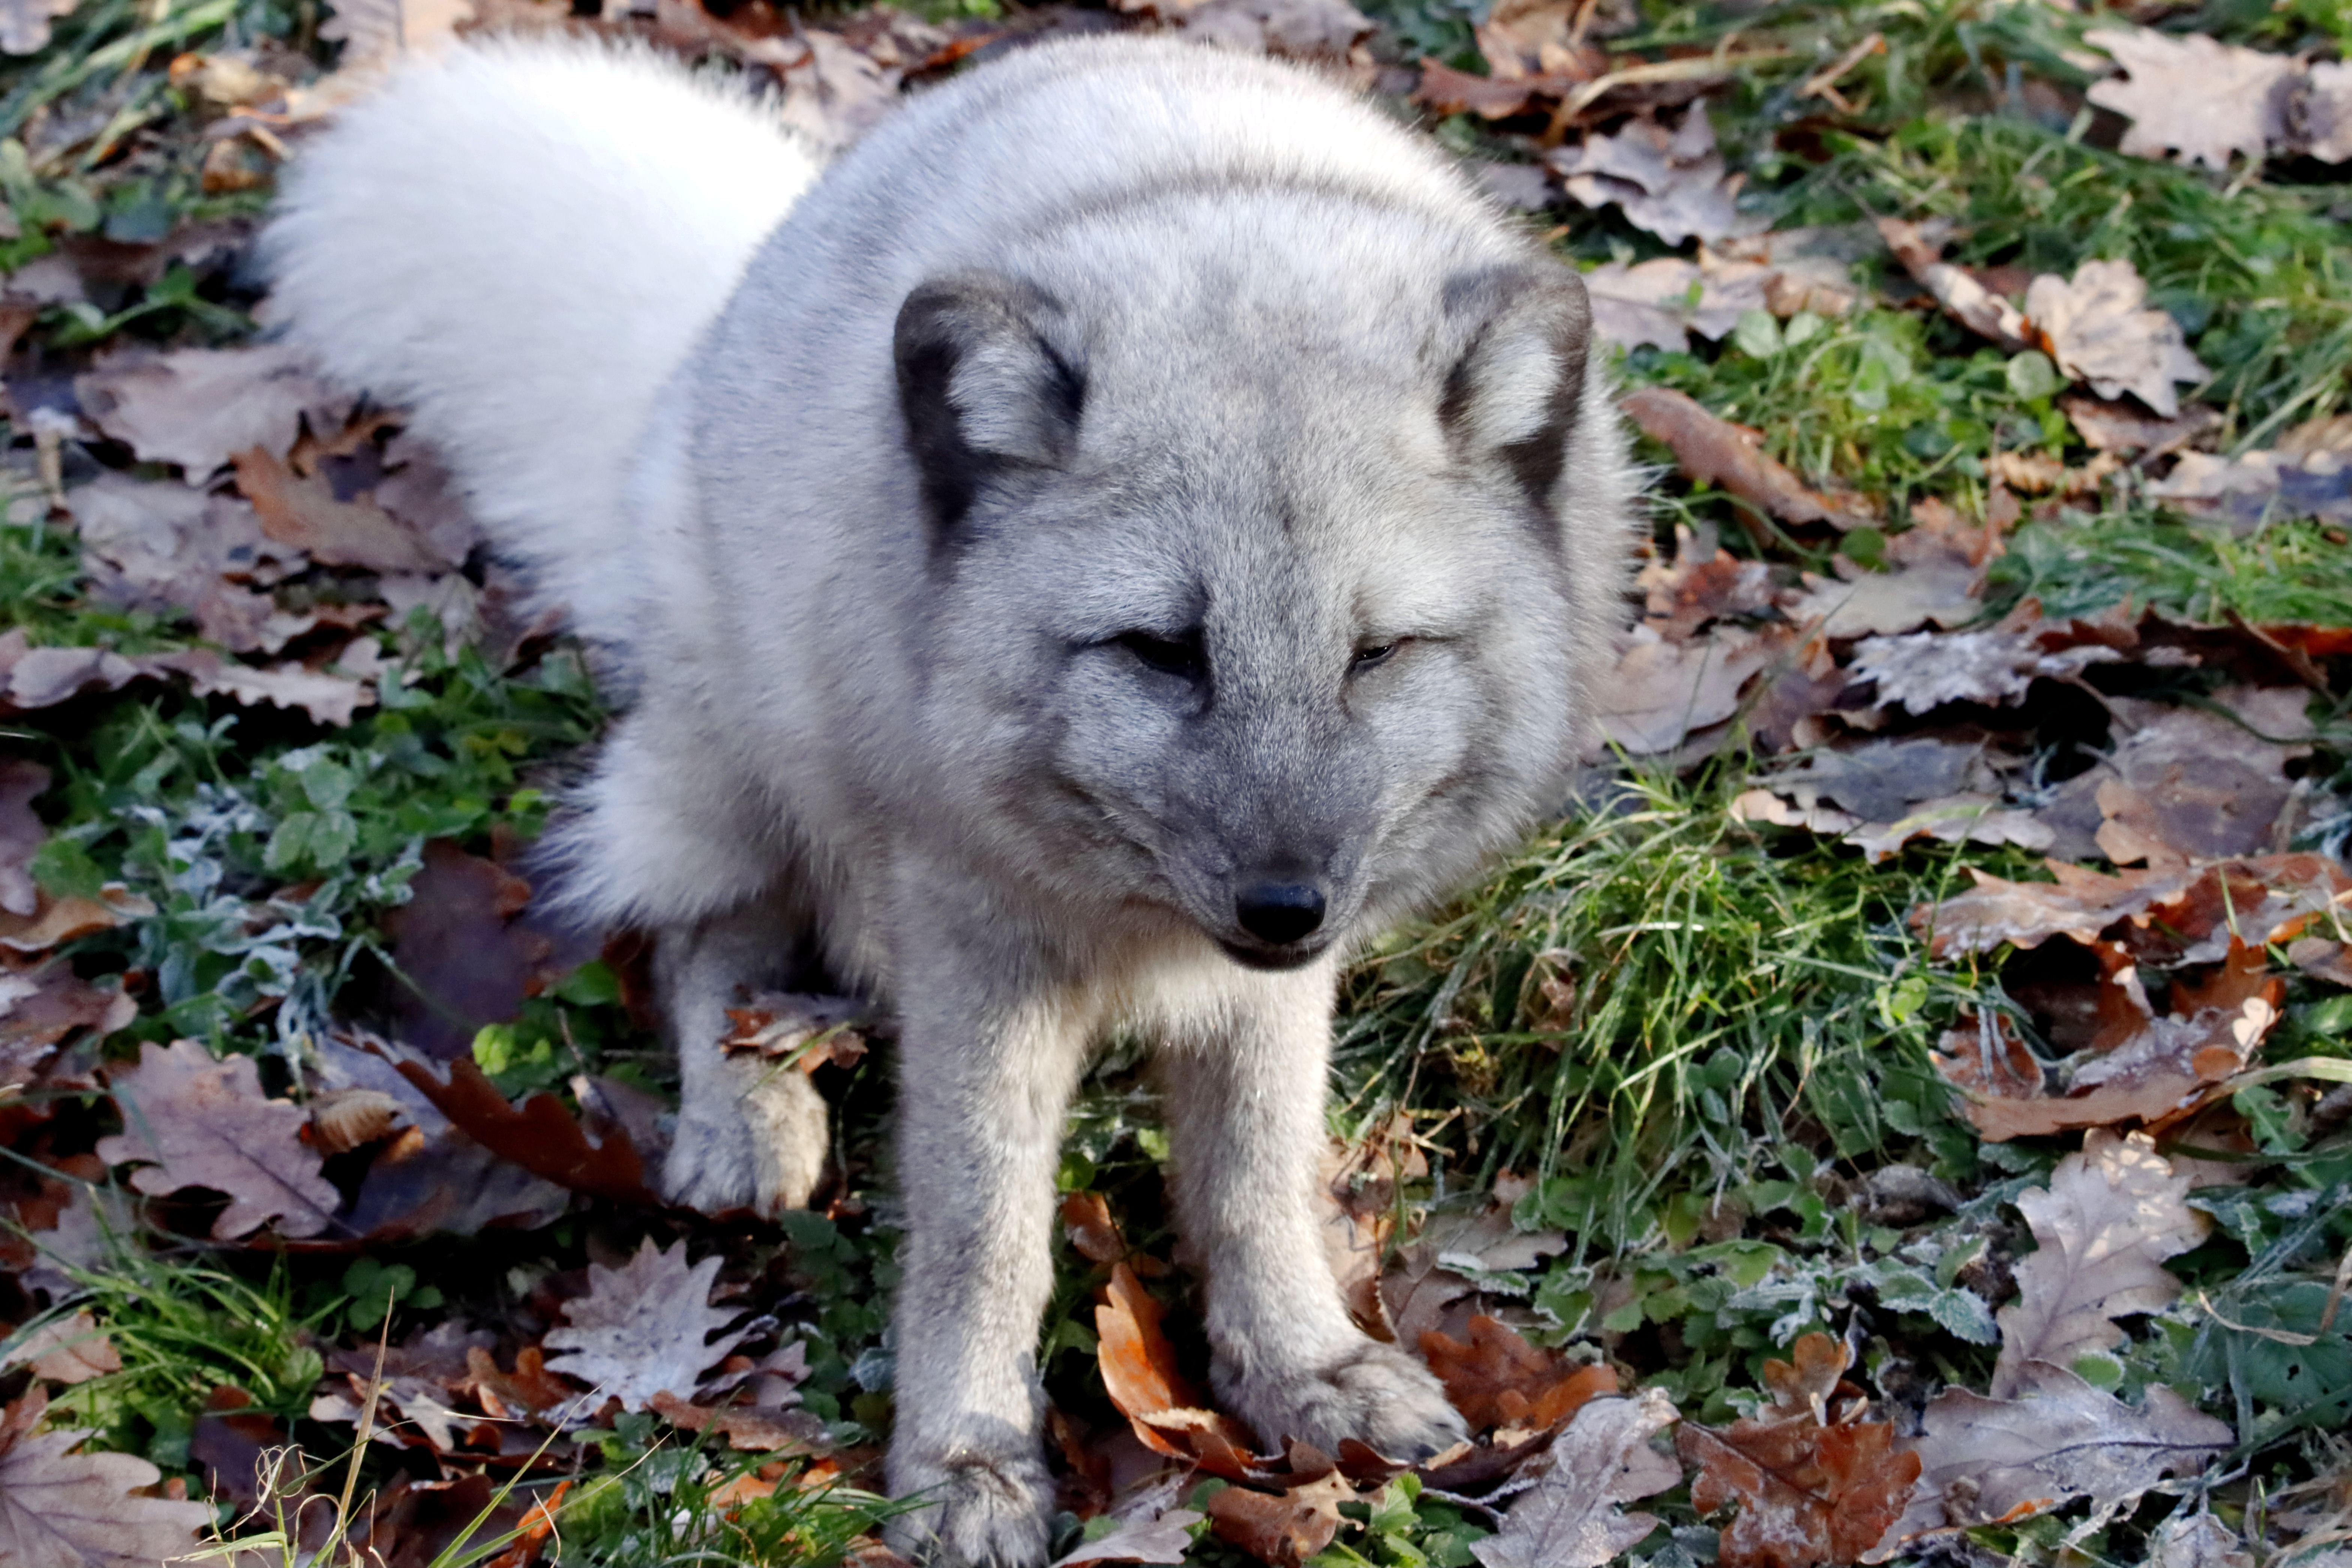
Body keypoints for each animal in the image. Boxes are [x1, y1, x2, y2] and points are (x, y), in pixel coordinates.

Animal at [263, 30, 1633, 1565]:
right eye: (1159, 649)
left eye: (1379, 652)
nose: (1287, 905)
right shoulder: (976, 947)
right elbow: (984, 1229)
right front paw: (964, 1460)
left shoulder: (1267, 992)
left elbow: (1257, 1178)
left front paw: (1304, 1367)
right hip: (742, 749)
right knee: (703, 935)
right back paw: (744, 1116)